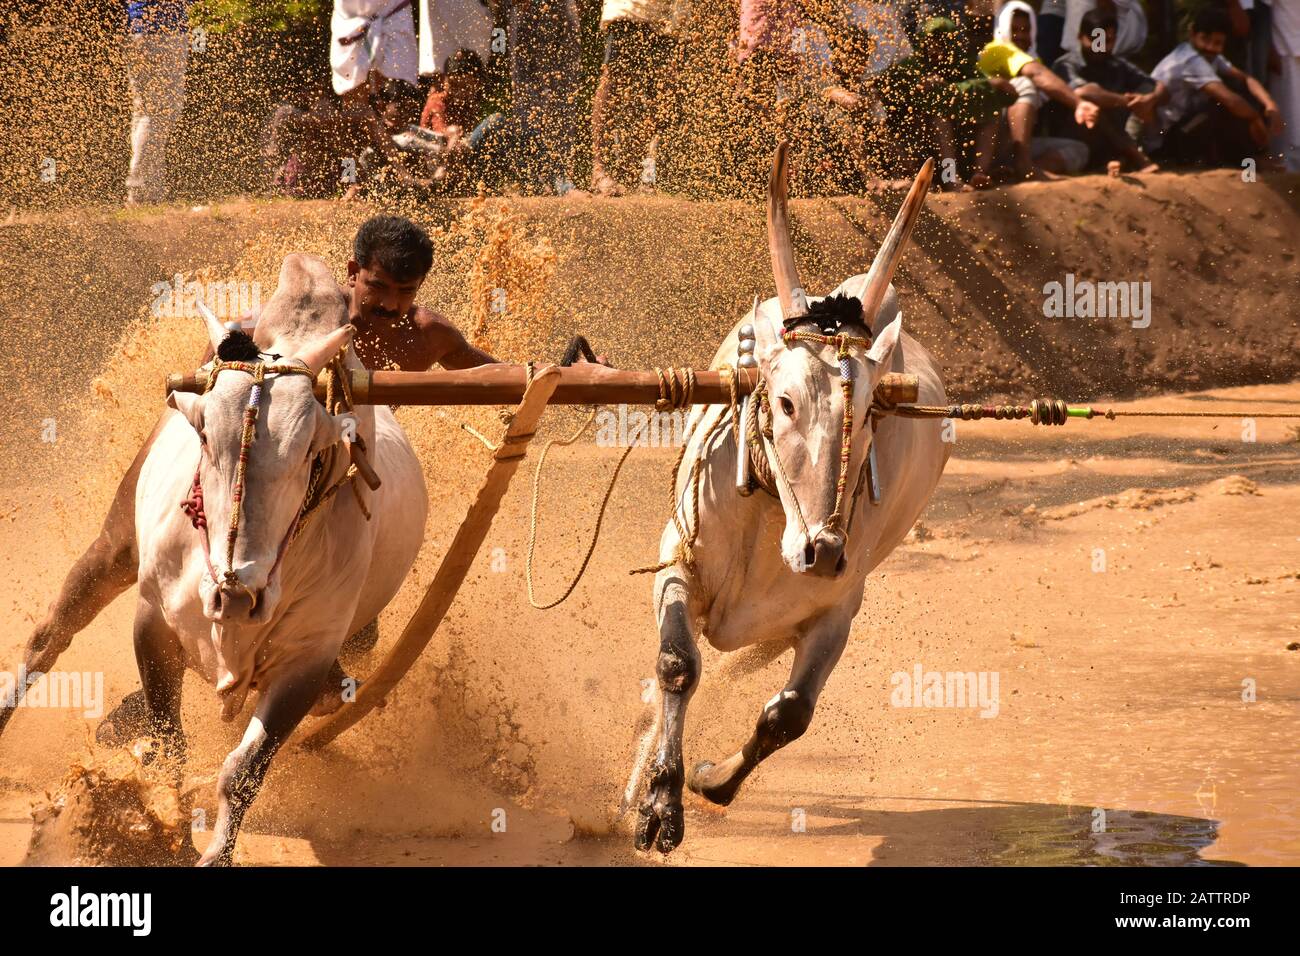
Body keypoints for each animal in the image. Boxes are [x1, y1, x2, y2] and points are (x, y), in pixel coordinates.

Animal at [133, 253, 427, 865]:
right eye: (204, 435)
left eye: (314, 451)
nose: (237, 594)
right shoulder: (151, 623)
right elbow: (169, 747)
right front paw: (166, 830)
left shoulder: (306, 661)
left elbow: (242, 772)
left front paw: (215, 852)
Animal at [628, 145, 950, 853]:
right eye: (783, 401)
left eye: (870, 410)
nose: (822, 550)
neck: (773, 519)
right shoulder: (677, 563)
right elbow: (676, 663)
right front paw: (659, 802)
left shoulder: (837, 609)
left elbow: (789, 714)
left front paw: (709, 779)